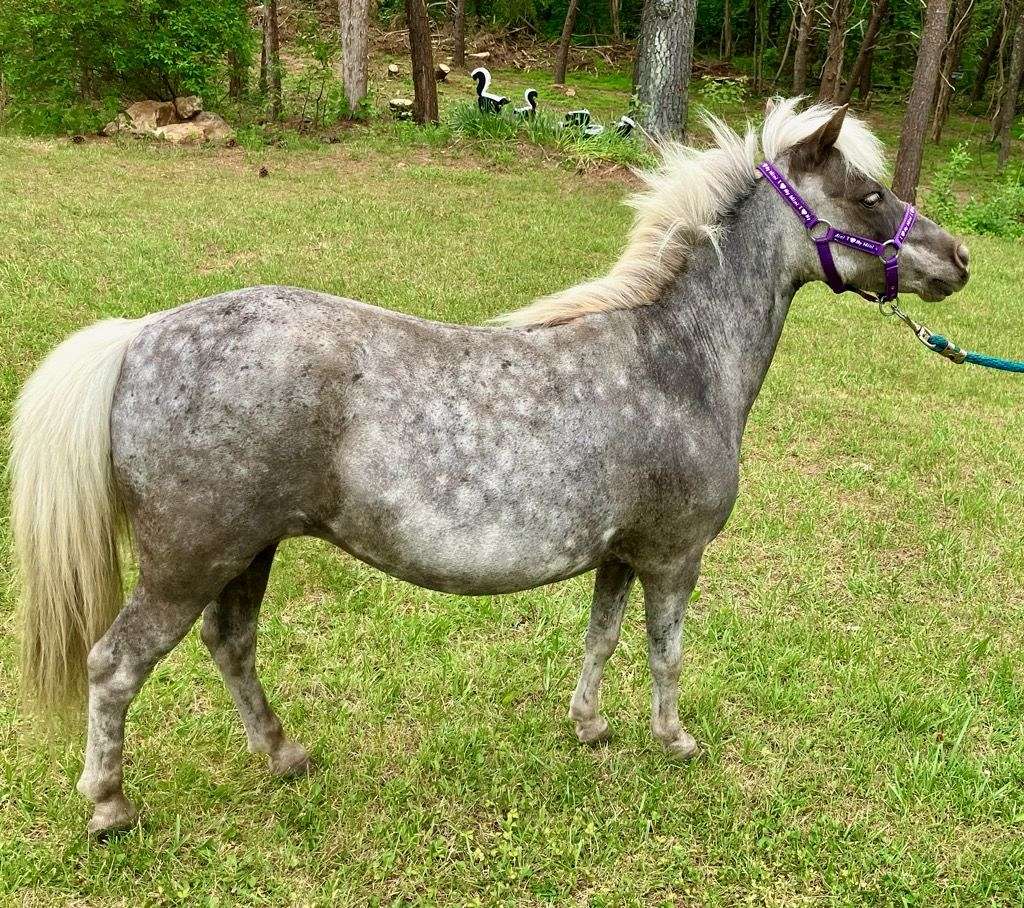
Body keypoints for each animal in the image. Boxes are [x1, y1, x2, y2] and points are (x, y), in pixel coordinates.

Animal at [10, 98, 970, 838]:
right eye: (870, 193)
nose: (958, 259)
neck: (675, 358)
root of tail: (139, 336)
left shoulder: (620, 557)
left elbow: (601, 638)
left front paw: (590, 728)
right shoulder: (674, 559)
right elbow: (665, 654)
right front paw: (674, 741)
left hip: (248, 552)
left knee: (231, 646)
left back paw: (285, 755)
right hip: (189, 561)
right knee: (116, 665)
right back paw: (109, 806)